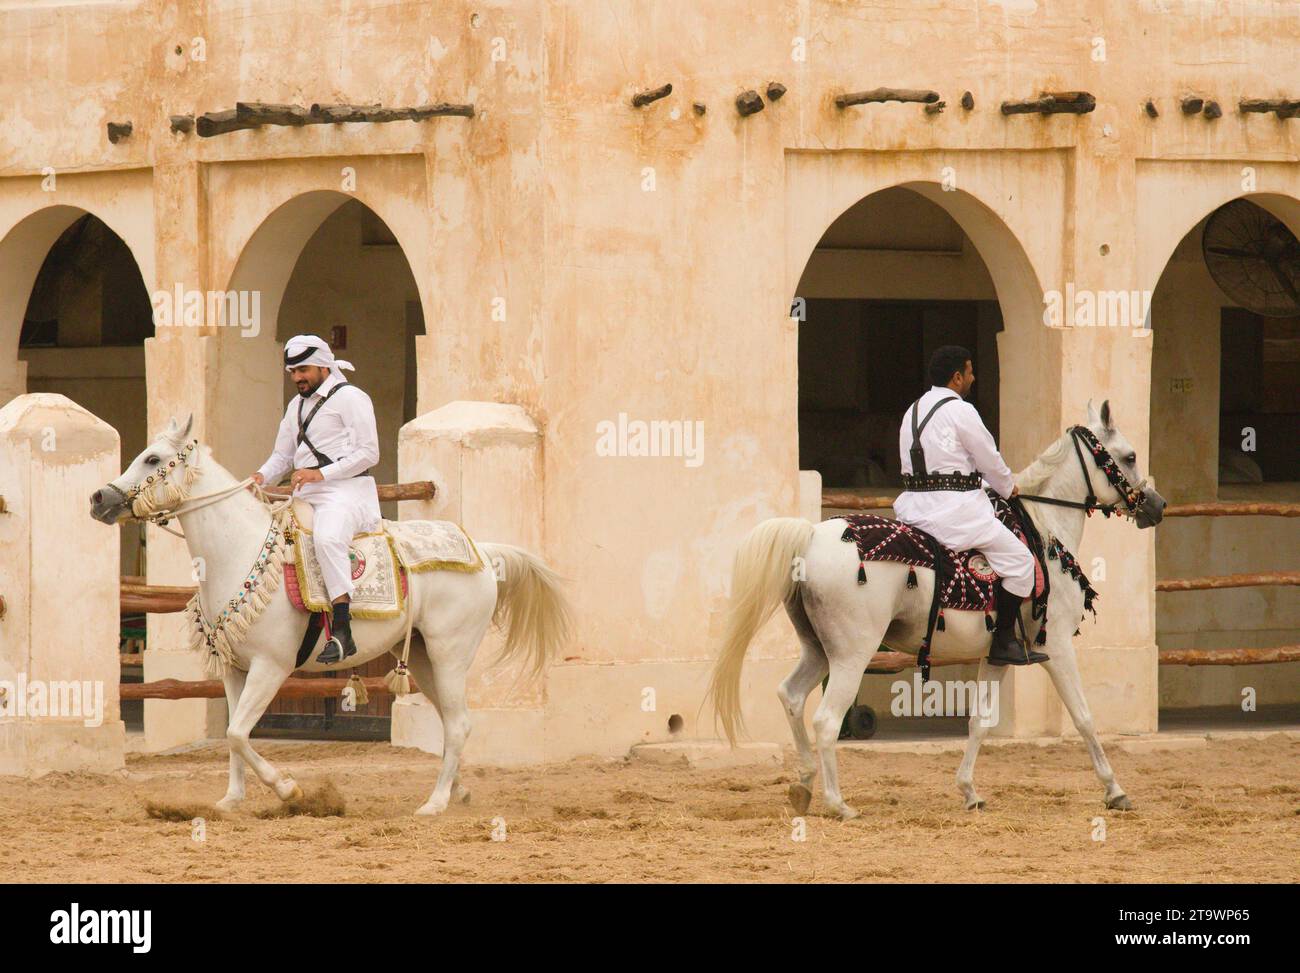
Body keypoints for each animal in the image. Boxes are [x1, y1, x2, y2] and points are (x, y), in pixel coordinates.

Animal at [91, 414, 572, 816]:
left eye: (153, 458)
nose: (99, 499)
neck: (239, 551)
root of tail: (482, 553)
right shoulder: (233, 669)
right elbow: (232, 736)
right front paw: (231, 799)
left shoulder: (270, 667)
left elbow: (238, 734)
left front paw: (290, 790)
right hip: (422, 658)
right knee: (456, 722)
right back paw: (459, 791)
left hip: (449, 653)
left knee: (457, 725)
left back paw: (434, 804)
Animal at [707, 400, 1167, 820]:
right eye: (1129, 456)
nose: (1157, 506)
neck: (1044, 529)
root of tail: (812, 536)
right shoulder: (1057, 647)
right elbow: (1084, 717)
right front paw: (1115, 790)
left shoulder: (998, 655)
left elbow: (980, 722)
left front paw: (969, 791)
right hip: (852, 654)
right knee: (825, 719)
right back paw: (839, 804)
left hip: (818, 650)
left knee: (791, 697)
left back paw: (803, 785)